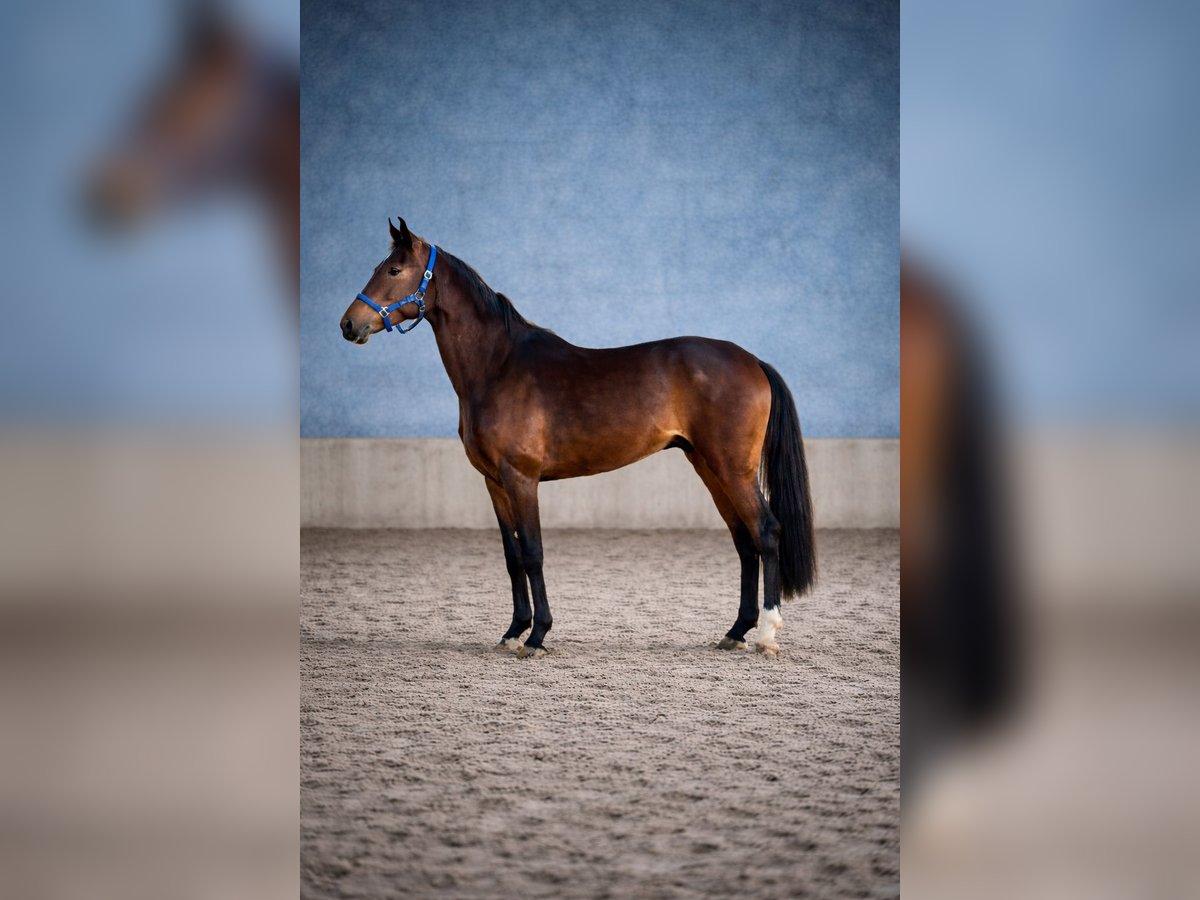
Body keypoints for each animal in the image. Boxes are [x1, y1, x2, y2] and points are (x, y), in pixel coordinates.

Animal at [340, 218, 817, 657]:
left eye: (395, 270)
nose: (349, 324)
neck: (498, 366)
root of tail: (751, 360)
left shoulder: (521, 478)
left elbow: (533, 552)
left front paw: (537, 636)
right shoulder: (493, 483)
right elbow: (512, 557)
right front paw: (512, 632)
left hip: (731, 469)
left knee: (767, 531)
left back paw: (767, 635)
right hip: (708, 466)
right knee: (744, 540)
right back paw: (735, 631)